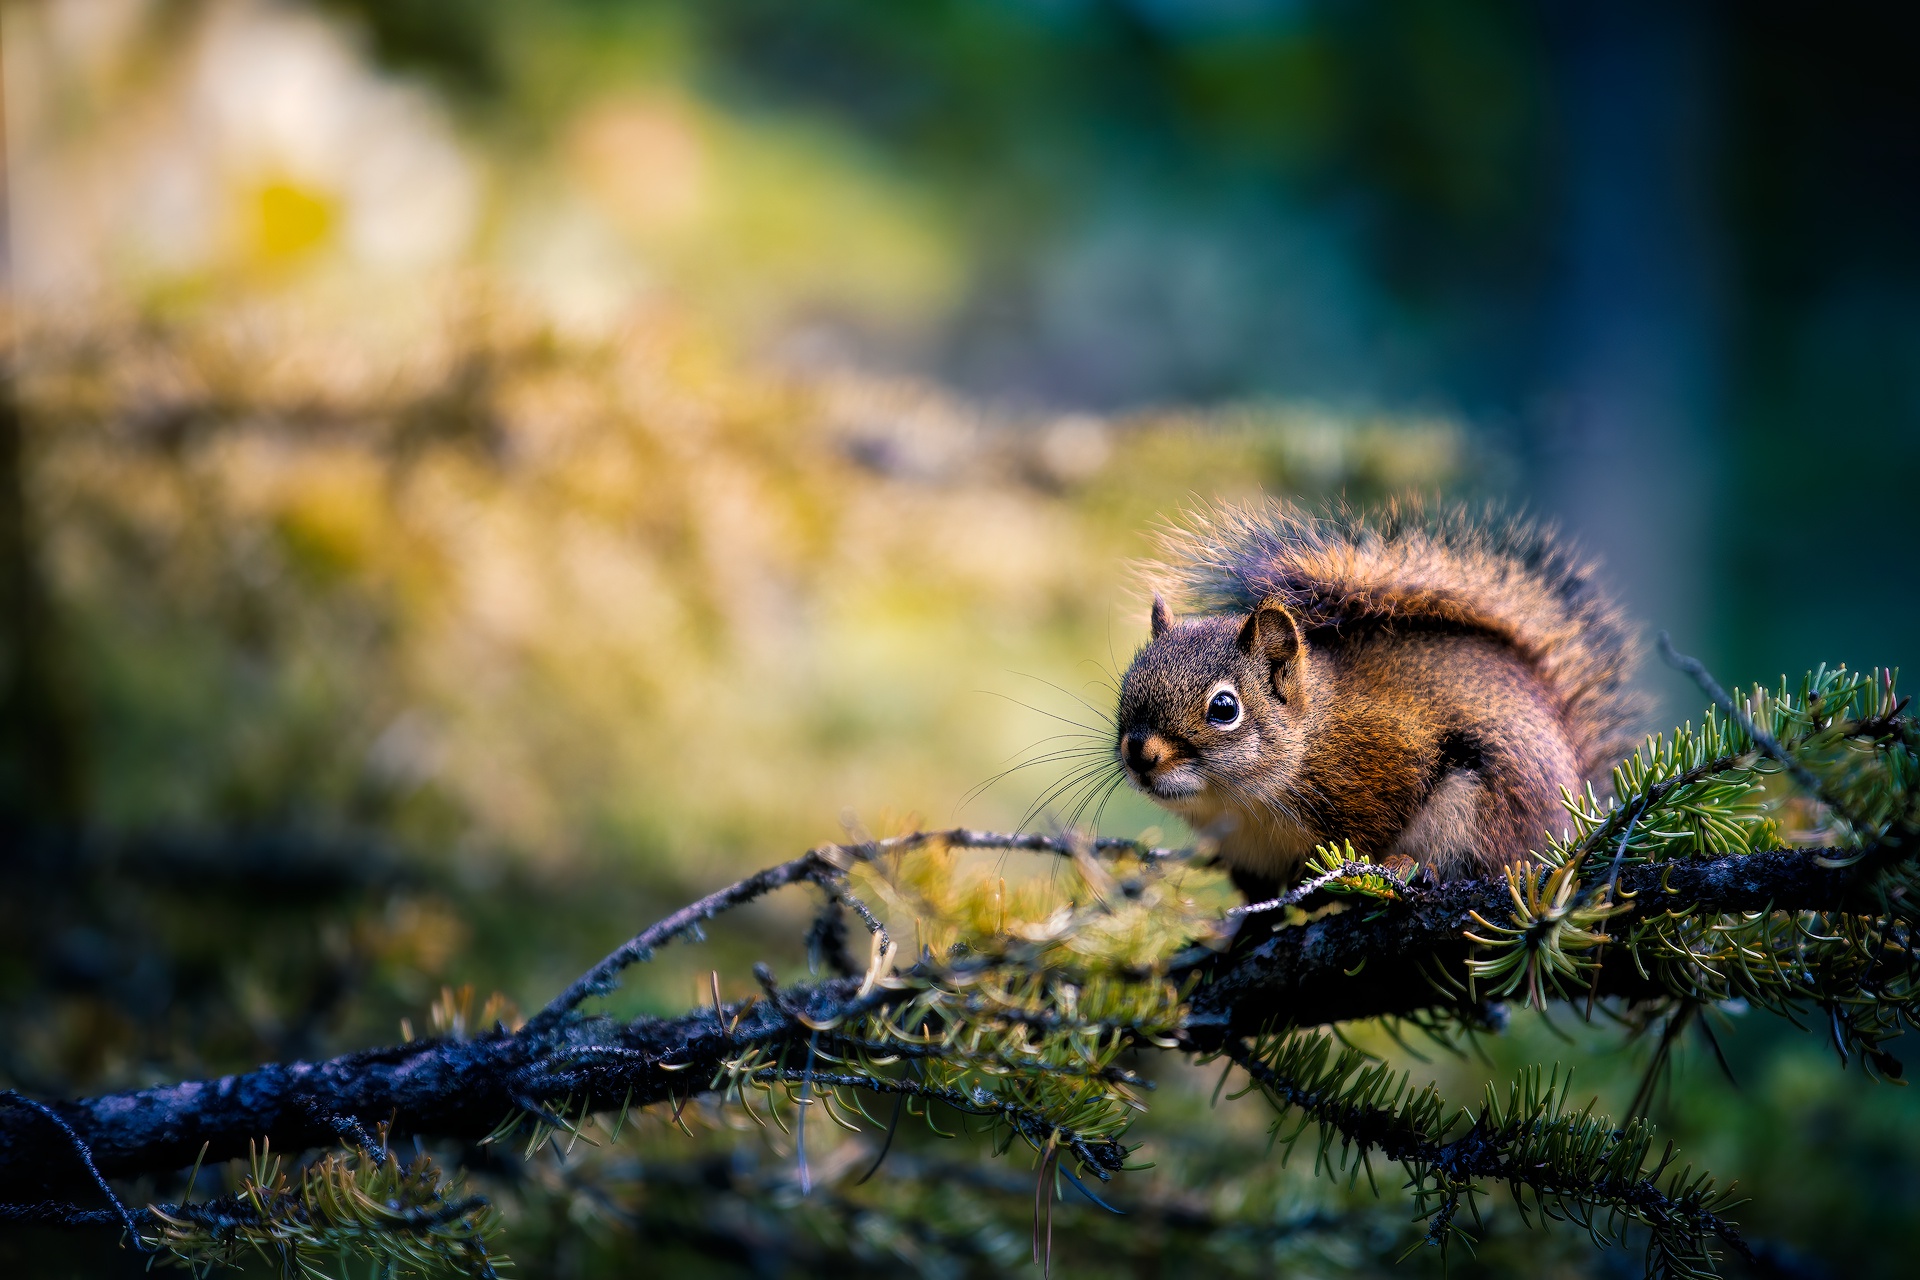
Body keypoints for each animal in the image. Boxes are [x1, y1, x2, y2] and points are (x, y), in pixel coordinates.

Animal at [1114, 499, 1643, 900]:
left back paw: (1417, 866)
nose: (1139, 753)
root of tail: (1573, 814)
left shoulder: (1385, 757)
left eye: (1224, 709)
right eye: (1127, 685)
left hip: (1485, 809)